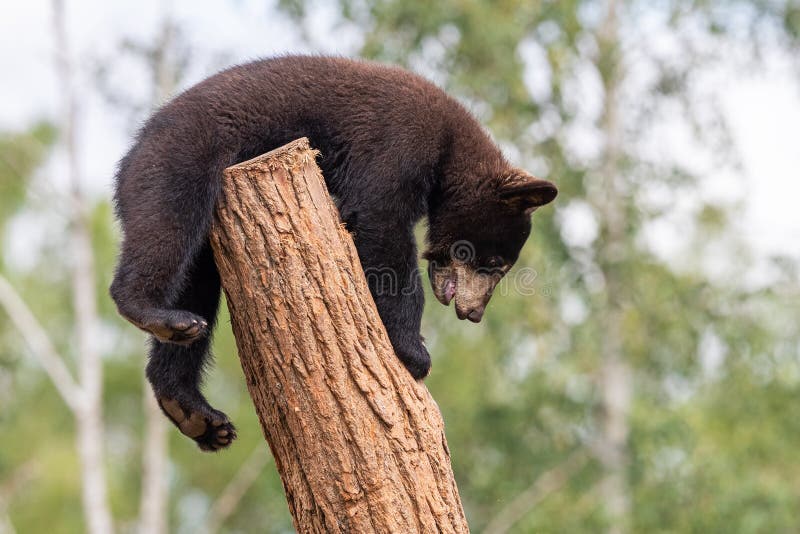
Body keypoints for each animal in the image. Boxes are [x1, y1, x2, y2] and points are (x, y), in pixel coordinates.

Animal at [110, 55, 557, 451]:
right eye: (495, 265)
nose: (474, 312)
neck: (449, 149)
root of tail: (131, 151)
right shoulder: (397, 144)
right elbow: (382, 226)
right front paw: (415, 351)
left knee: (196, 285)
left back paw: (194, 411)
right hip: (181, 160)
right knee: (166, 227)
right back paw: (156, 313)